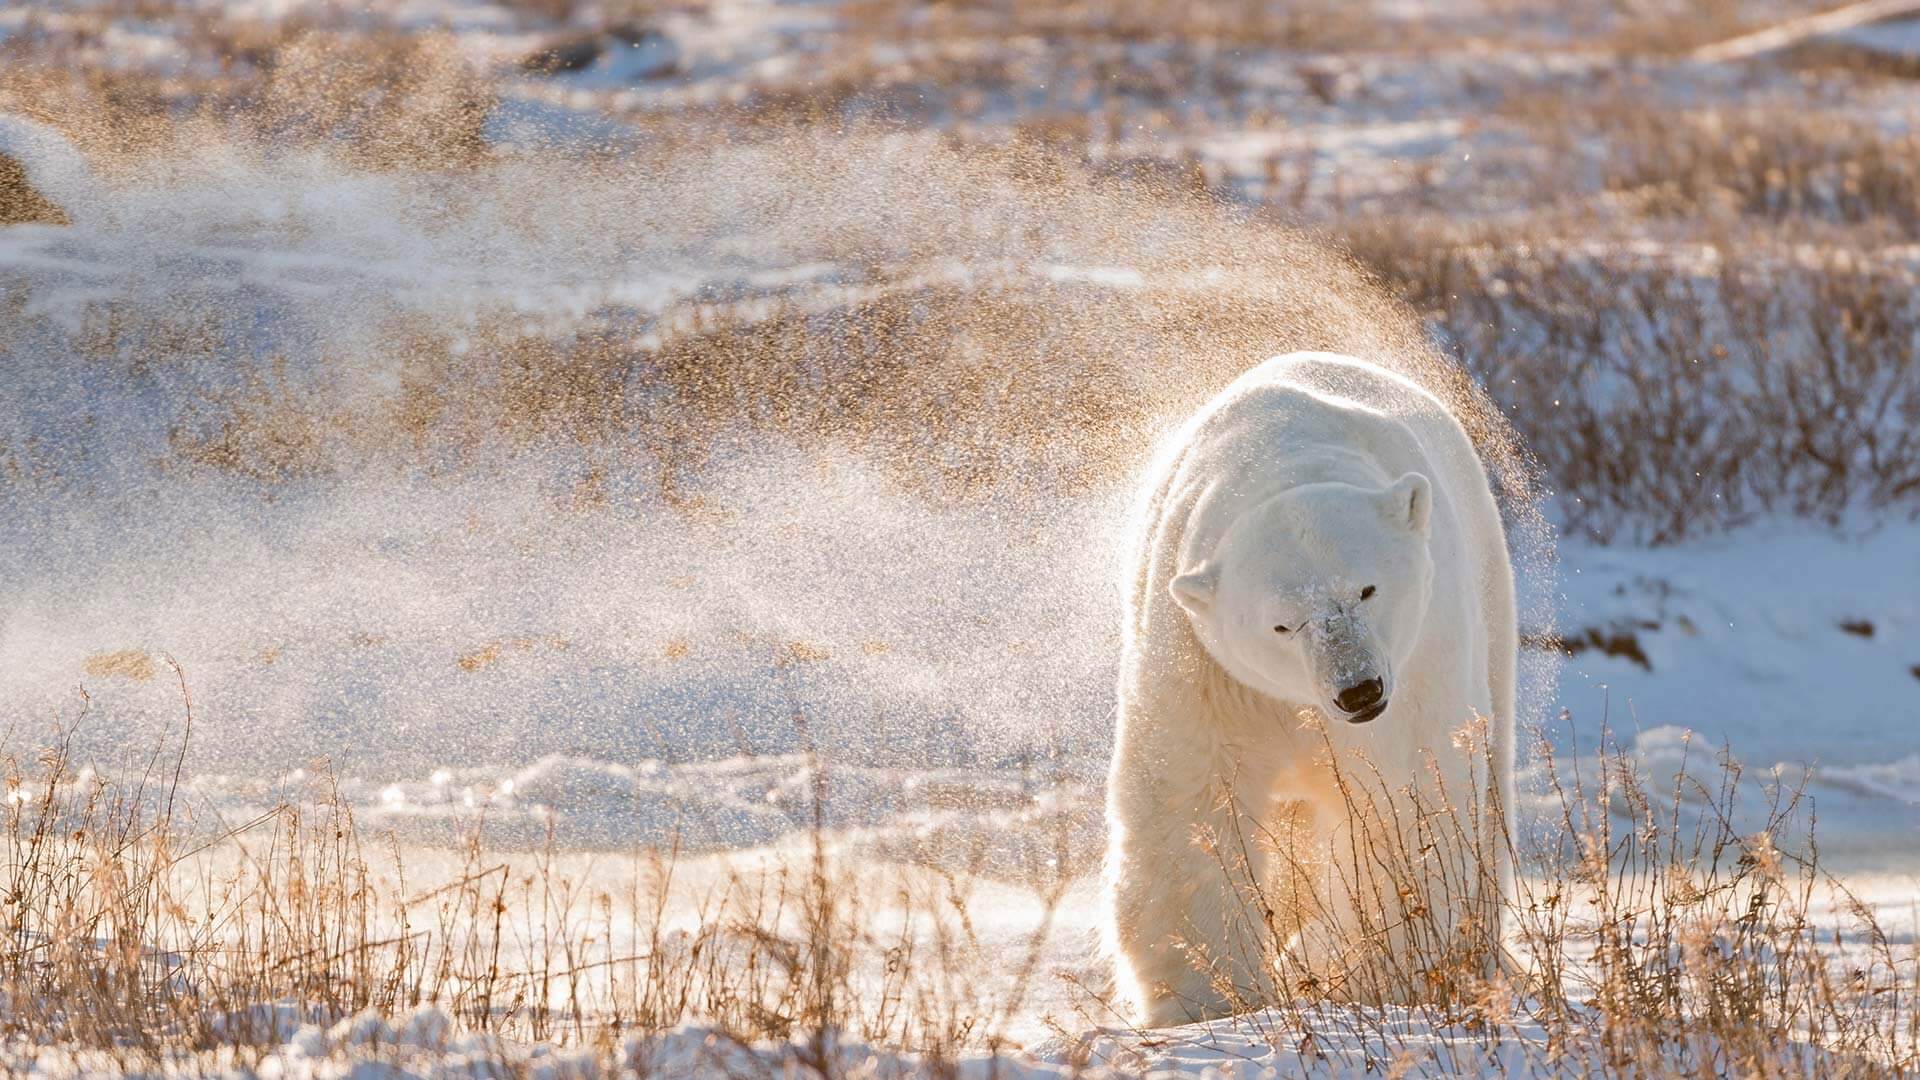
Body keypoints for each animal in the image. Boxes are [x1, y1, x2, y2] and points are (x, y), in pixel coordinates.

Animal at [1102, 350, 1516, 1027]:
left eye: (1366, 589)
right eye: (1281, 623)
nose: (1359, 691)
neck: (1282, 457)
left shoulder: (1421, 655)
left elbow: (1403, 801)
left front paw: (1368, 971)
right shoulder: (1205, 666)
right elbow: (1193, 803)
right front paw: (1205, 997)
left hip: (1488, 593)